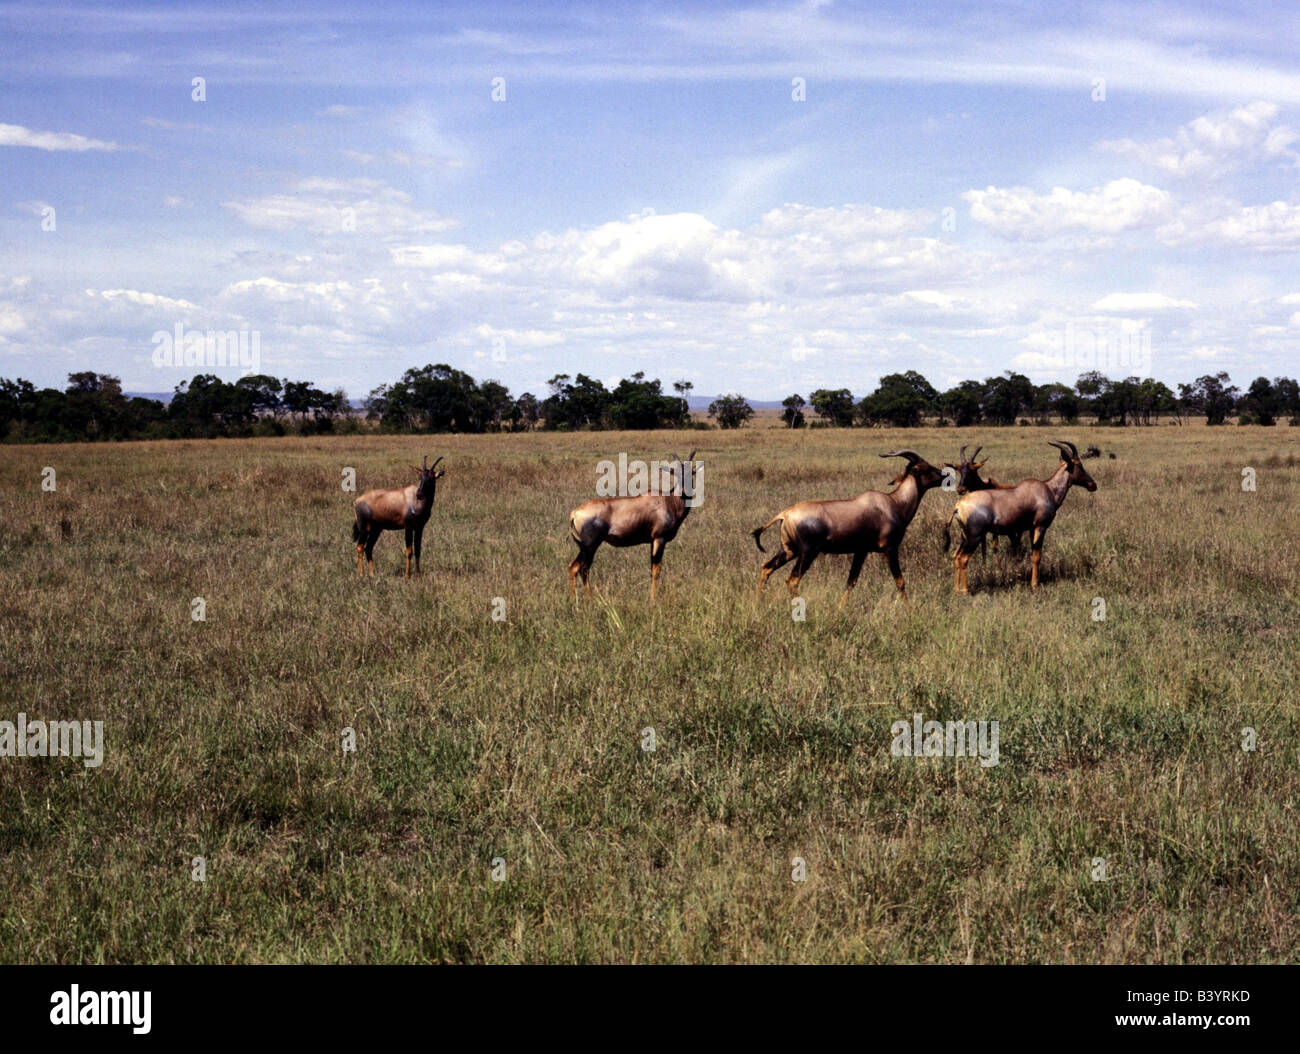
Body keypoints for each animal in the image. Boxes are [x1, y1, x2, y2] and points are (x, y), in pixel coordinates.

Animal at [568, 451, 698, 602]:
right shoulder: (659, 539)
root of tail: (575, 513)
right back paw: (592, 600)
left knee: (573, 567)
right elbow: (656, 569)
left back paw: (574, 600)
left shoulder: (652, 541)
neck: (668, 500)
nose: (684, 491)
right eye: (675, 473)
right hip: (590, 546)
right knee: (584, 569)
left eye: (692, 472)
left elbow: (652, 568)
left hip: (583, 547)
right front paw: (652, 600)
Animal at [751, 450, 945, 608]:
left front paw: (839, 610)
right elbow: (900, 581)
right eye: (926, 467)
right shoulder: (890, 549)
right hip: (807, 553)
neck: (892, 503)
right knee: (792, 580)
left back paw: (757, 604)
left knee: (766, 567)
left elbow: (851, 582)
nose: (945, 475)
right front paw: (910, 611)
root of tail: (785, 514)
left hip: (788, 551)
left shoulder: (861, 551)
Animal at [947, 440, 1096, 594]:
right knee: (963, 558)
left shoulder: (1030, 529)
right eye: (1079, 465)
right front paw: (1034, 585)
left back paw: (957, 589)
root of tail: (959, 505)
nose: (1093, 485)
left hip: (964, 537)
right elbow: (1037, 556)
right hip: (974, 537)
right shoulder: (1040, 527)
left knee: (956, 557)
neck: (1047, 489)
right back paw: (965, 591)